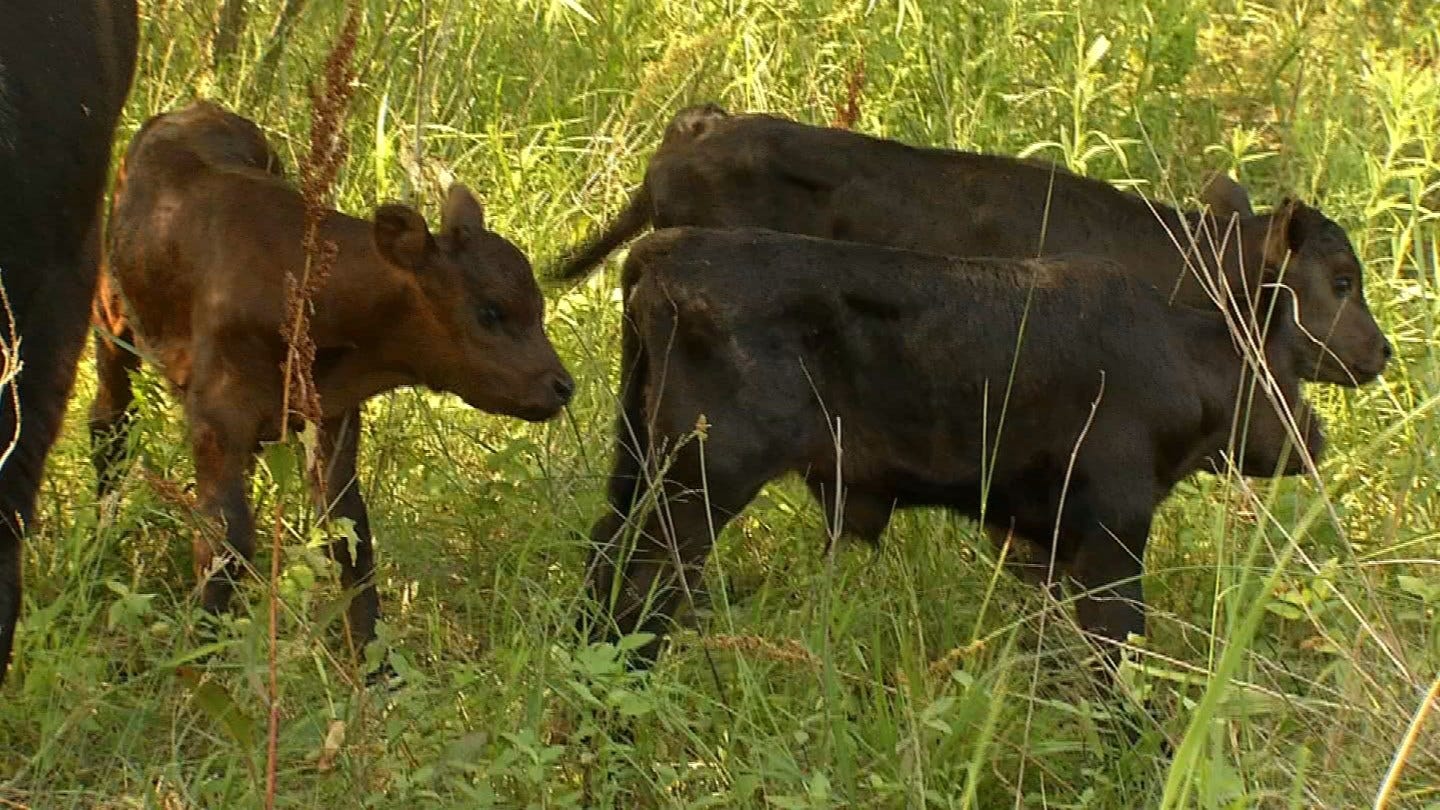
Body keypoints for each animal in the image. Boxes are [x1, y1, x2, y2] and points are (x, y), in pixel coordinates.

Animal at [89, 102, 575, 656]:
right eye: (490, 311)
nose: (561, 385)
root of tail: (192, 109)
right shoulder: (219, 412)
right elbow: (225, 536)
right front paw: (201, 651)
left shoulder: (333, 413)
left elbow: (349, 530)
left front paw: (372, 657)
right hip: (110, 313)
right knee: (110, 421)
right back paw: (100, 541)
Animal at [581, 227, 1324, 675]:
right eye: (1285, 368)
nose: (1315, 434)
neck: (1180, 359)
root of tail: (666, 248)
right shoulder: (1112, 536)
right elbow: (1114, 653)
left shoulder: (1045, 542)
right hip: (702, 481)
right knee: (644, 585)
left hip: (641, 462)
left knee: (602, 553)